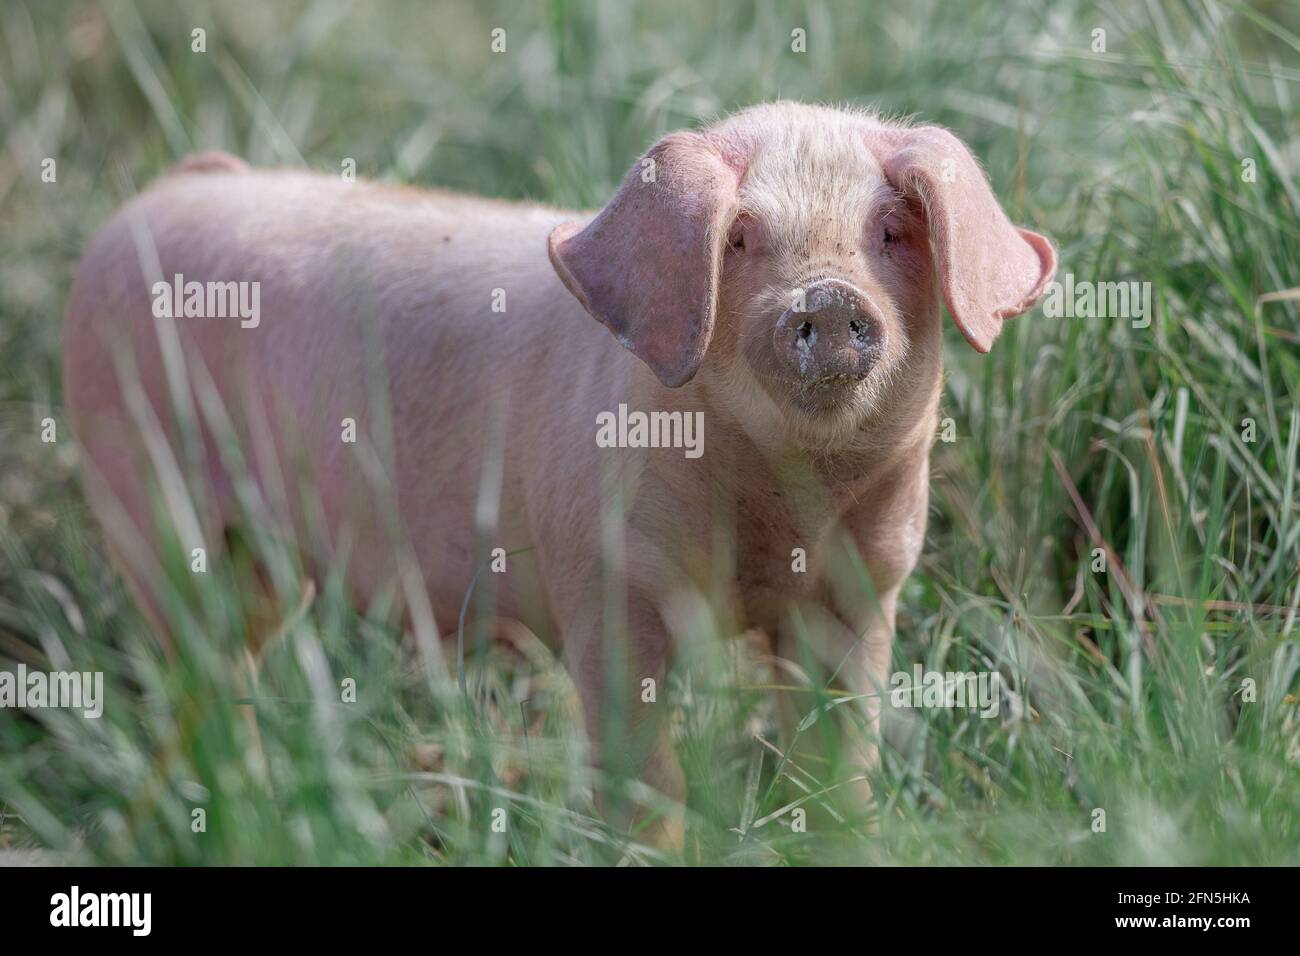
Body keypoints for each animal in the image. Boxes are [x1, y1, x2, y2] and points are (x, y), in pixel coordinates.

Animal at [63, 102, 1055, 848]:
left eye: (889, 231)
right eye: (739, 237)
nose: (830, 296)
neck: (777, 518)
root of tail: (170, 189)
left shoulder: (864, 583)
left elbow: (841, 747)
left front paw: (846, 835)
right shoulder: (605, 577)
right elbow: (643, 766)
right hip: (140, 488)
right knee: (192, 661)